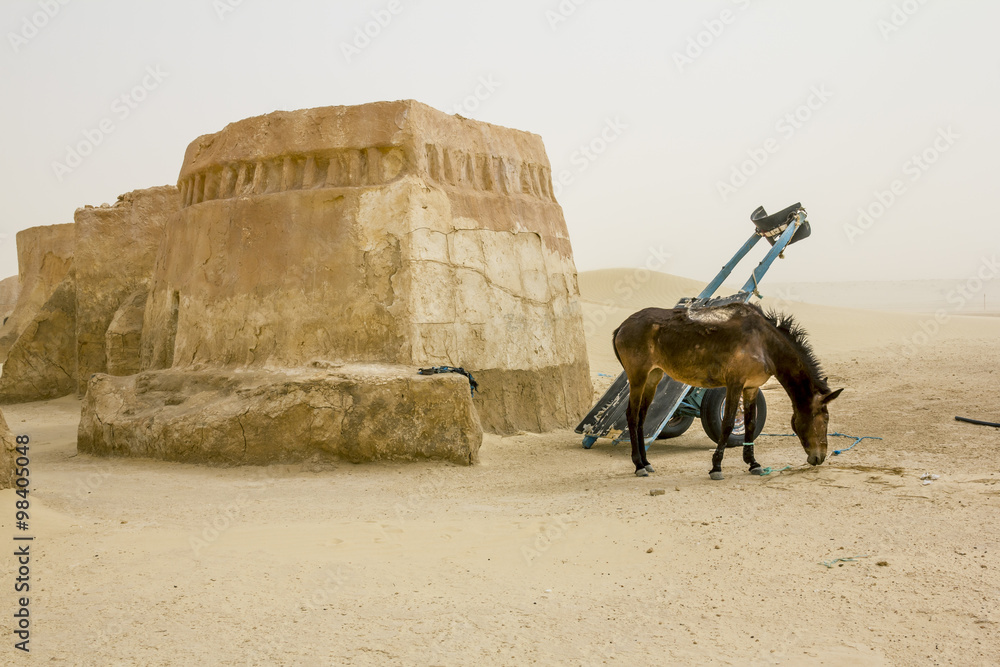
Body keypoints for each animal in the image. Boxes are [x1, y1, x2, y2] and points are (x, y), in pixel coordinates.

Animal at [611, 302, 843, 479]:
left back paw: (646, 462)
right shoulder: (734, 384)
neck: (763, 342)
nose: (820, 457)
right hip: (638, 377)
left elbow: (750, 424)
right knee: (632, 416)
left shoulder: (751, 387)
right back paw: (638, 465)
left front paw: (753, 463)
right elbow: (728, 423)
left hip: (653, 377)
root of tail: (622, 326)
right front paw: (716, 466)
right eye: (825, 419)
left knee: (641, 417)